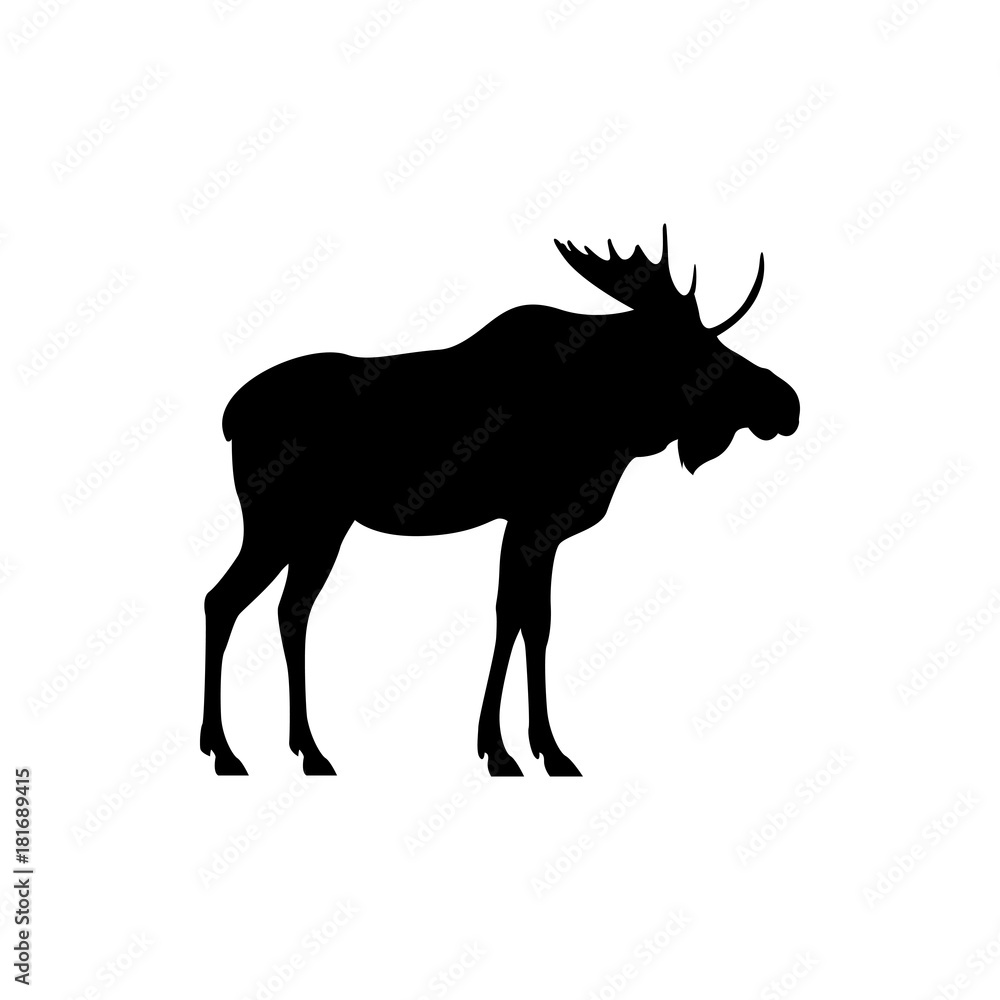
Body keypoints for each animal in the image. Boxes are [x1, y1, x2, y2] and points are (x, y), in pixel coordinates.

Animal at [201, 225, 800, 777]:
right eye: (691, 347)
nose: (786, 401)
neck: (617, 419)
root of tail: (231, 415)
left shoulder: (542, 525)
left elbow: (534, 621)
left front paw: (537, 748)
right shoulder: (531, 518)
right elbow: (515, 616)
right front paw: (508, 749)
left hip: (323, 526)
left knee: (289, 610)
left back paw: (307, 750)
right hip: (279, 521)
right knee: (222, 601)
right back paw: (225, 751)